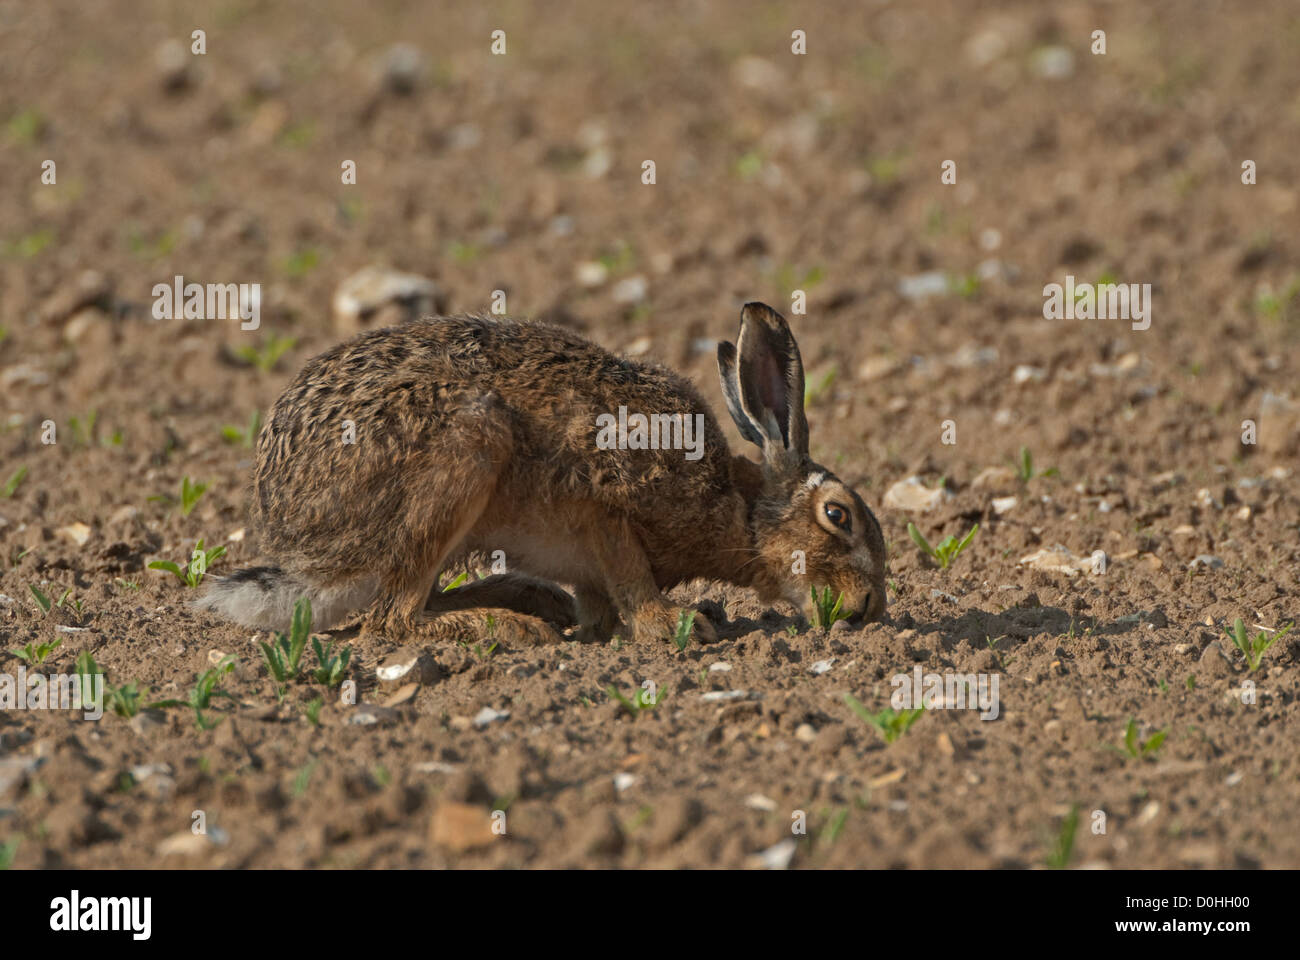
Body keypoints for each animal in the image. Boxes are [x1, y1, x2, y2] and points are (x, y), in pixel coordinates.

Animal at [195, 302, 887, 647]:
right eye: (838, 515)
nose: (867, 610)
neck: (736, 510)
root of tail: (298, 543)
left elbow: (601, 605)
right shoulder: (604, 502)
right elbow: (628, 575)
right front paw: (675, 625)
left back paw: (530, 600)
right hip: (467, 448)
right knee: (392, 617)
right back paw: (513, 627)